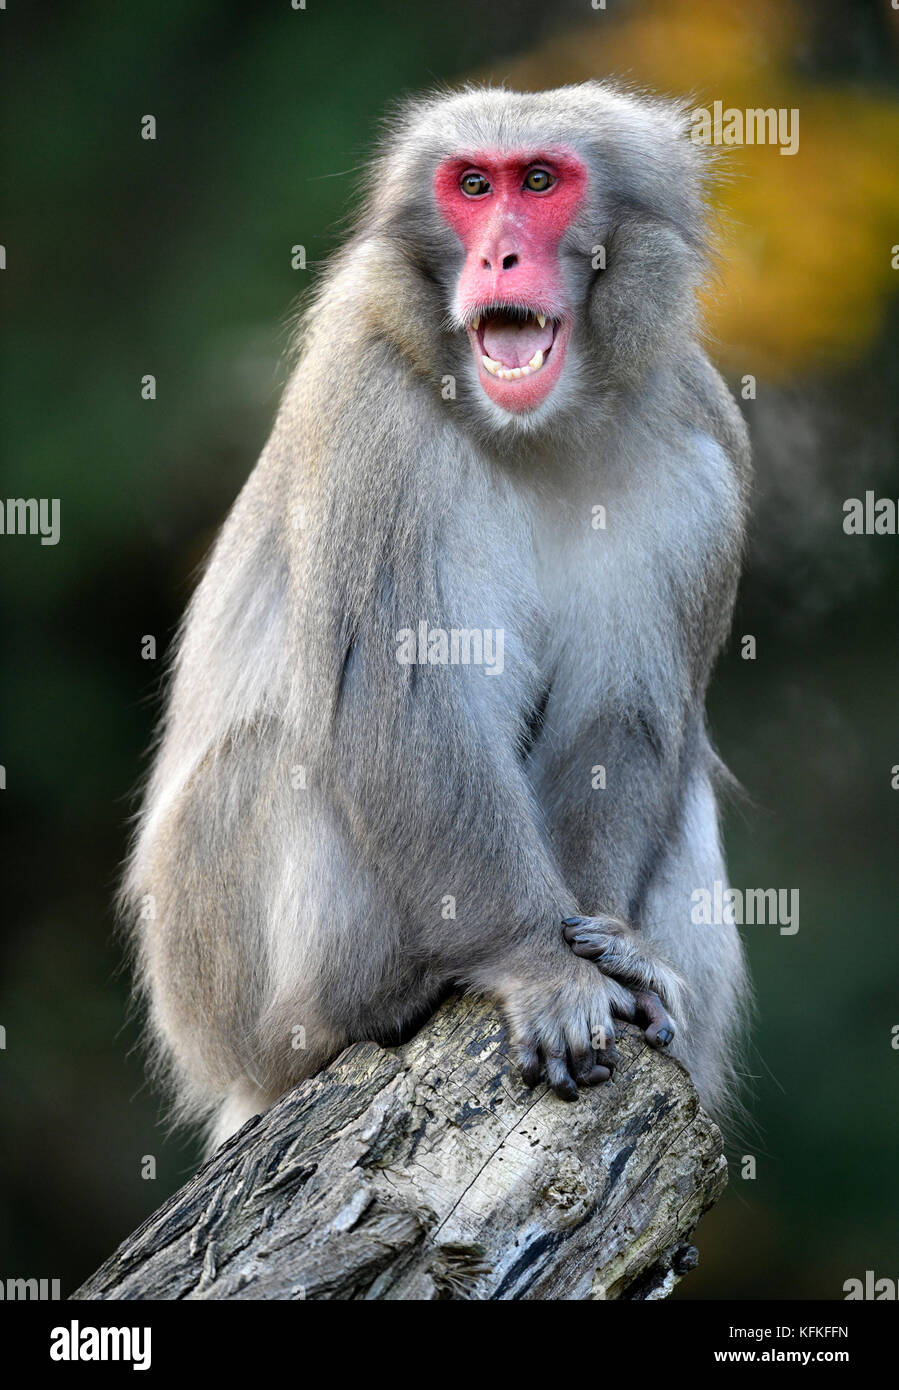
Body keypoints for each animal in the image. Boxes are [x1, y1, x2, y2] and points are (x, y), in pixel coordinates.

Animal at [123, 82, 750, 1155]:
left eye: (537, 182)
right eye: (470, 187)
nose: (498, 255)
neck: (544, 429)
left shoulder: (702, 447)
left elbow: (624, 720)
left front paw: (608, 950)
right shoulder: (370, 413)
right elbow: (395, 698)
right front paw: (538, 963)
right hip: (213, 982)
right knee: (286, 749)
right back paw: (370, 1002)